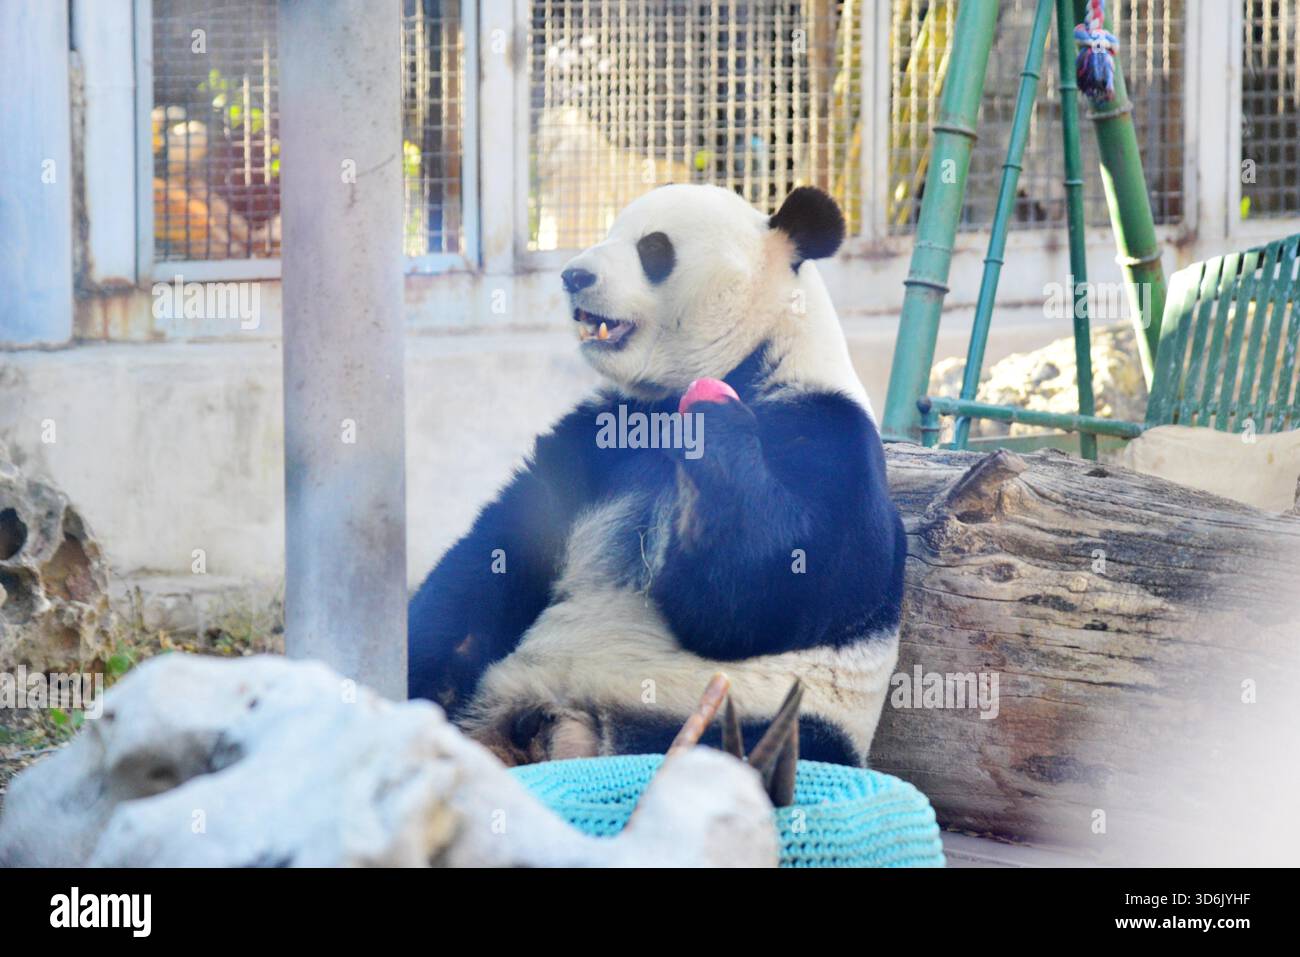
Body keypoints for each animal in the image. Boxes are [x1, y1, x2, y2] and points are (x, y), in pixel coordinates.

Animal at [408, 183, 906, 768]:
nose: (573, 275)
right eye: (610, 231)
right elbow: (499, 553)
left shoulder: (831, 433)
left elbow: (770, 593)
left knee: (763, 747)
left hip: (765, 712)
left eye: (654, 249)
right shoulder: (600, 441)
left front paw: (713, 425)